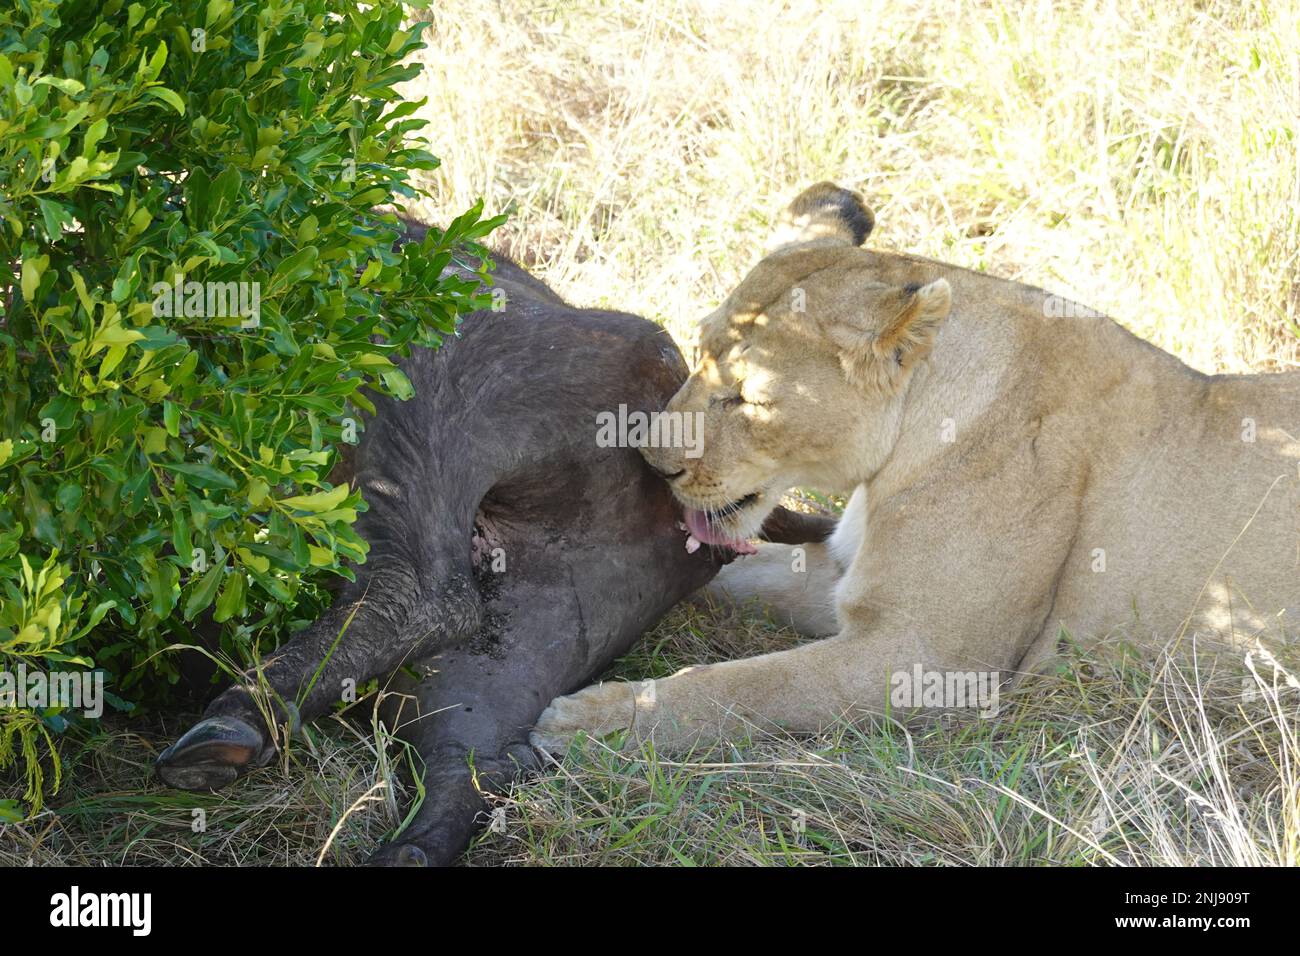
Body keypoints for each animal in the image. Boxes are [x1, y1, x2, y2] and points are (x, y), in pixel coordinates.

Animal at [531, 182, 1300, 752]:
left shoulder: (928, 658)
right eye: (696, 351)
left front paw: (595, 721)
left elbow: (741, 687)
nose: (652, 462)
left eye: (749, 398)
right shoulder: (845, 582)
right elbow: (728, 576)